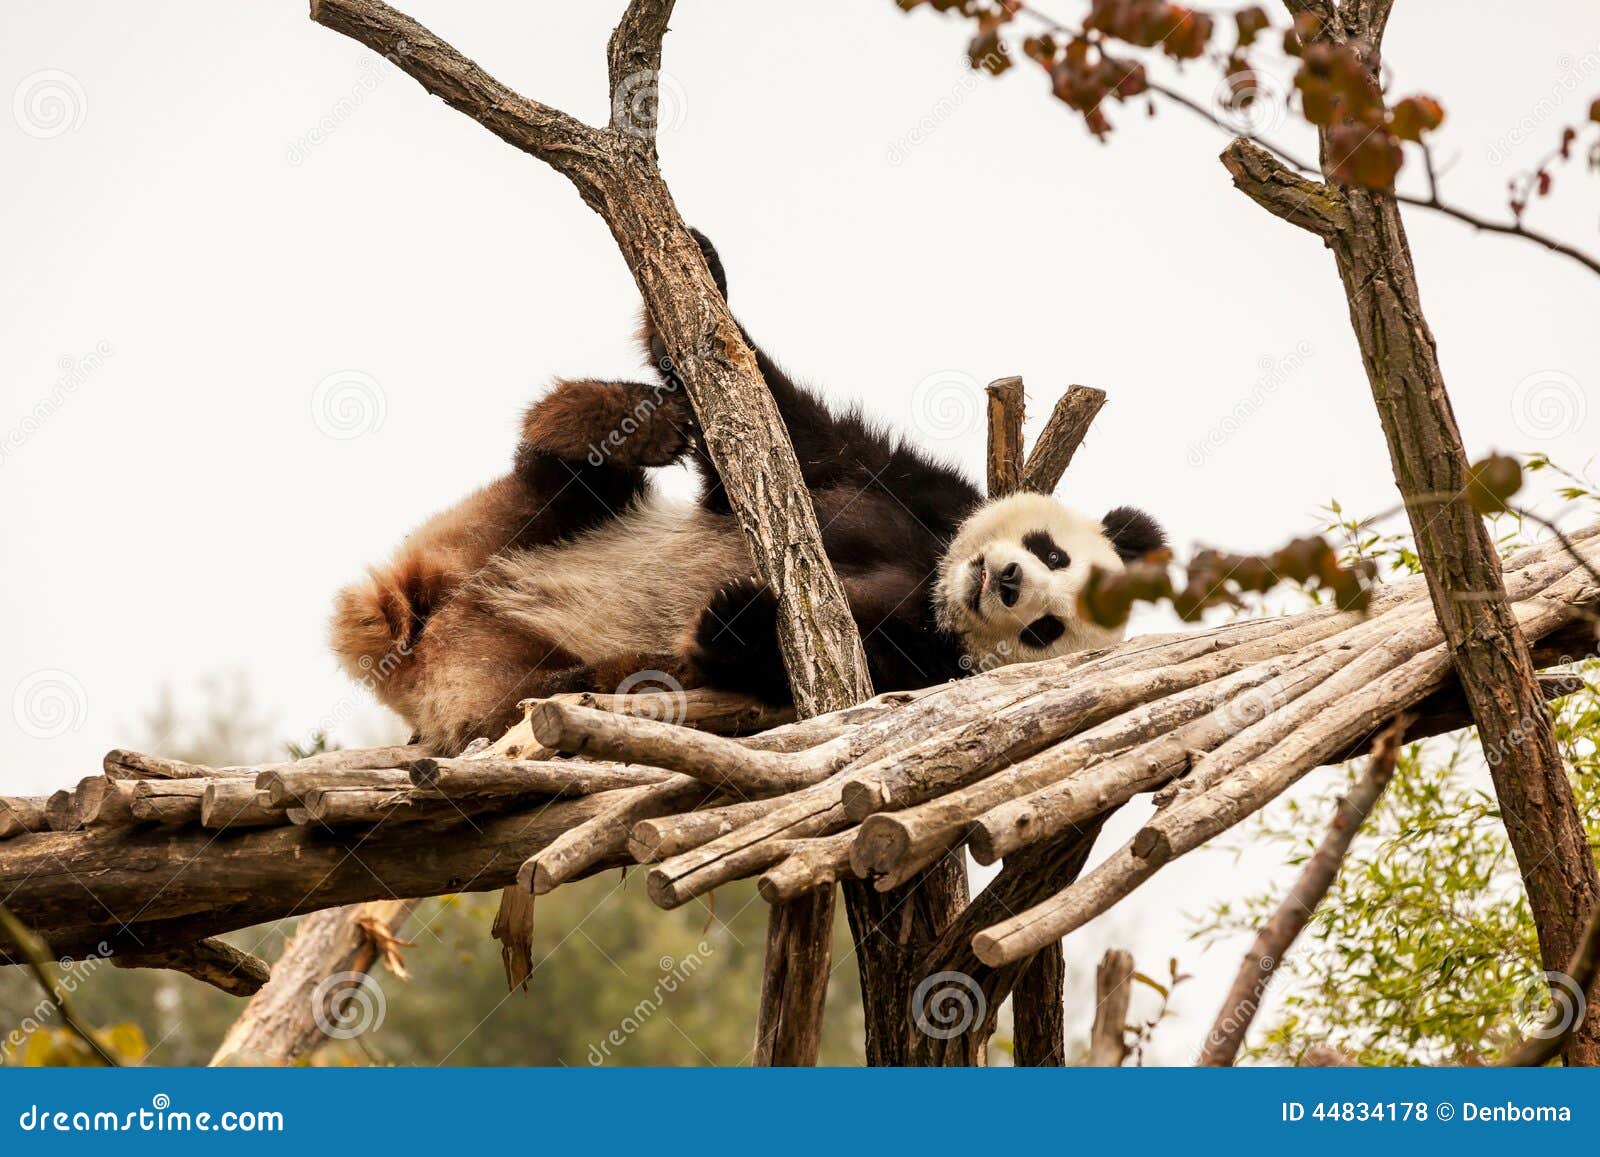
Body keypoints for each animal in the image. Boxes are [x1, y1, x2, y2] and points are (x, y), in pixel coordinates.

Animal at [330, 233, 1165, 752]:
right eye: (1050, 550)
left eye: (1046, 630)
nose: (1007, 579)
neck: (933, 578)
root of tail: (423, 631)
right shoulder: (906, 484)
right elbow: (792, 430)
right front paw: (704, 273)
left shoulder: (919, 672)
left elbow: (814, 672)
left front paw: (739, 613)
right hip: (508, 531)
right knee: (569, 481)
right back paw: (612, 424)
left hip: (490, 676)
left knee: (531, 687)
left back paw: (598, 671)